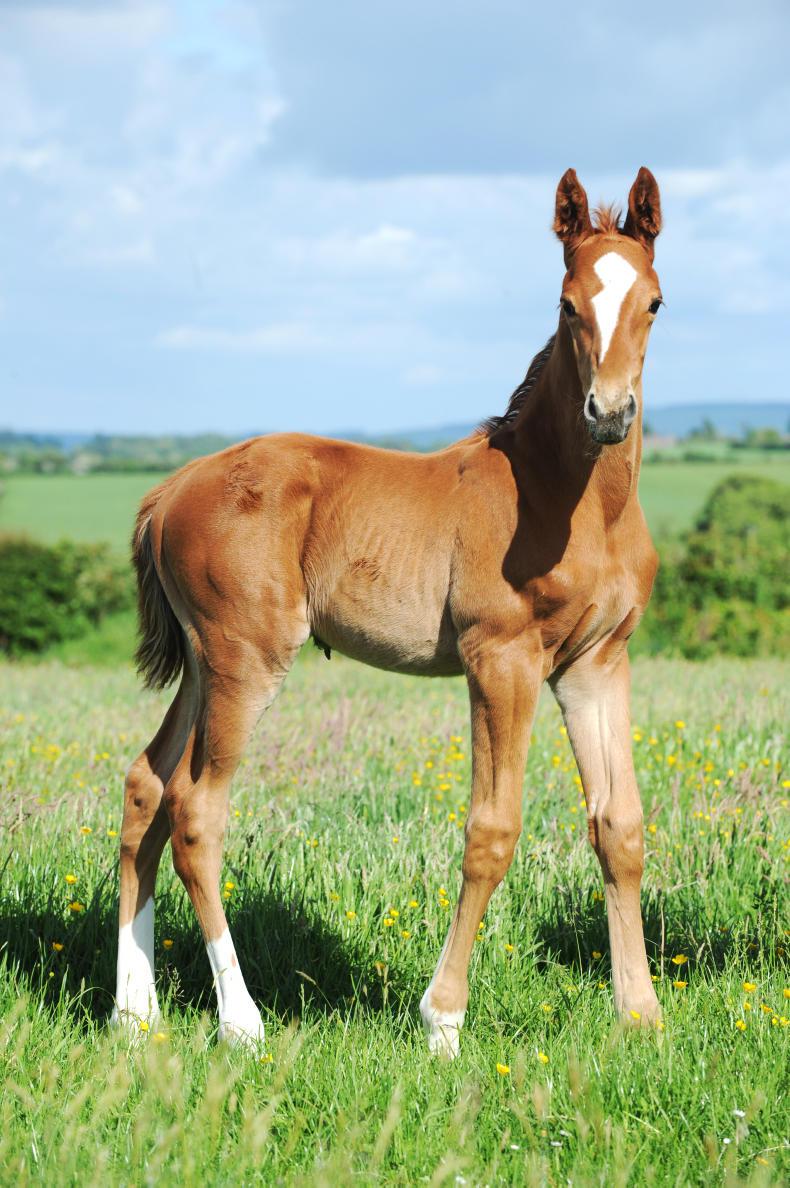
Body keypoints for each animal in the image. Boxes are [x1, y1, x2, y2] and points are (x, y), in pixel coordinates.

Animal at [113, 167, 665, 1057]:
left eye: (653, 301)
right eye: (567, 303)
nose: (608, 412)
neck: (569, 500)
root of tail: (170, 491)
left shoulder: (594, 666)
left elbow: (619, 826)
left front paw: (641, 1015)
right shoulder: (500, 660)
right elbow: (492, 830)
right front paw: (443, 1020)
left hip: (203, 662)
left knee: (146, 787)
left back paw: (134, 1012)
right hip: (245, 660)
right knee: (196, 808)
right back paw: (241, 1020)